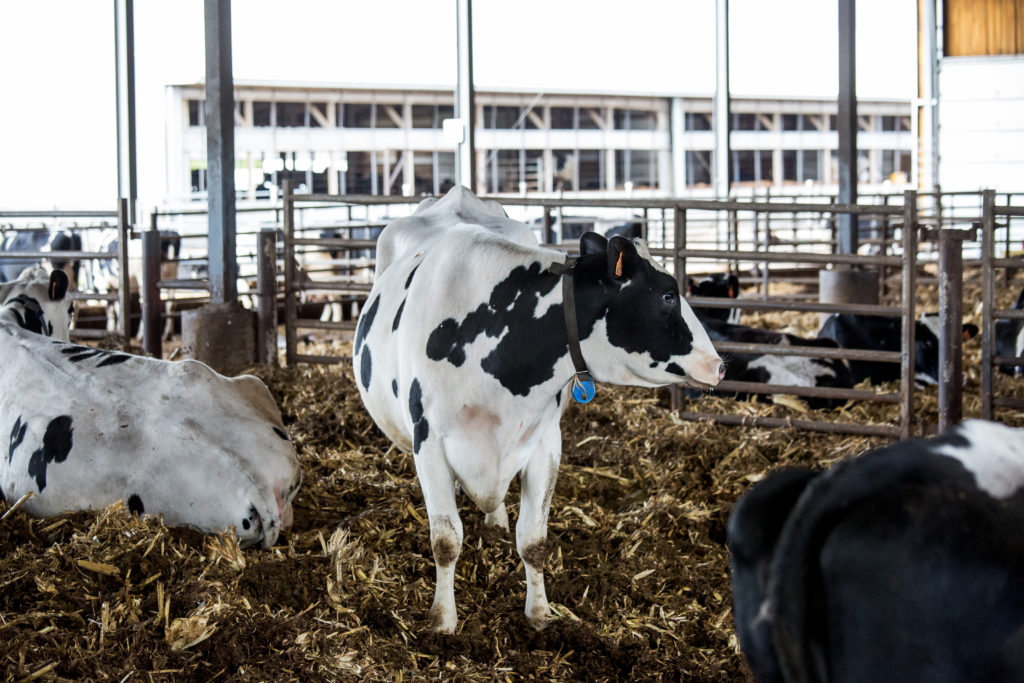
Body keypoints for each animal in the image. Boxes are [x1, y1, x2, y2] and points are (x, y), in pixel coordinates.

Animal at [353, 186, 724, 633]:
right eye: (668, 295)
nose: (720, 365)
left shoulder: (546, 444)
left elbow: (534, 540)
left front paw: (540, 614)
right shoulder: (429, 443)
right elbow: (445, 540)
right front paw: (443, 620)